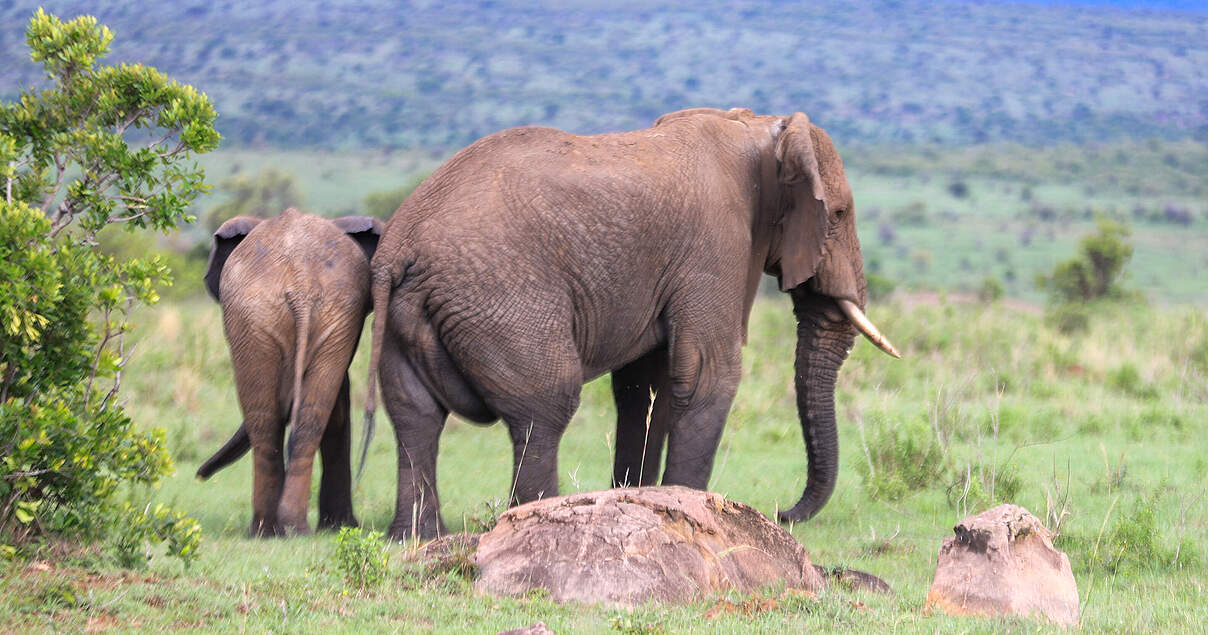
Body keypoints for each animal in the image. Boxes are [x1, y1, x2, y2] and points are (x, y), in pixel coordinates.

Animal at [199, 208, 382, 536]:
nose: (200, 476)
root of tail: (301, 282)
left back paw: (276, 530)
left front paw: (339, 527)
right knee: (289, 418)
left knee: (272, 419)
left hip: (273, 317)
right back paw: (280, 530)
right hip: (265, 315)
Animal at [362, 107, 899, 540]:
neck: (761, 128)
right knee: (545, 406)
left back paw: (416, 538)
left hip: (411, 313)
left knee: (414, 415)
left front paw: (640, 501)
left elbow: (644, 387)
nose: (784, 513)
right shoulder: (716, 243)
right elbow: (707, 375)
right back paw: (530, 520)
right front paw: (697, 511)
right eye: (838, 213)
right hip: (502, 299)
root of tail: (399, 247)